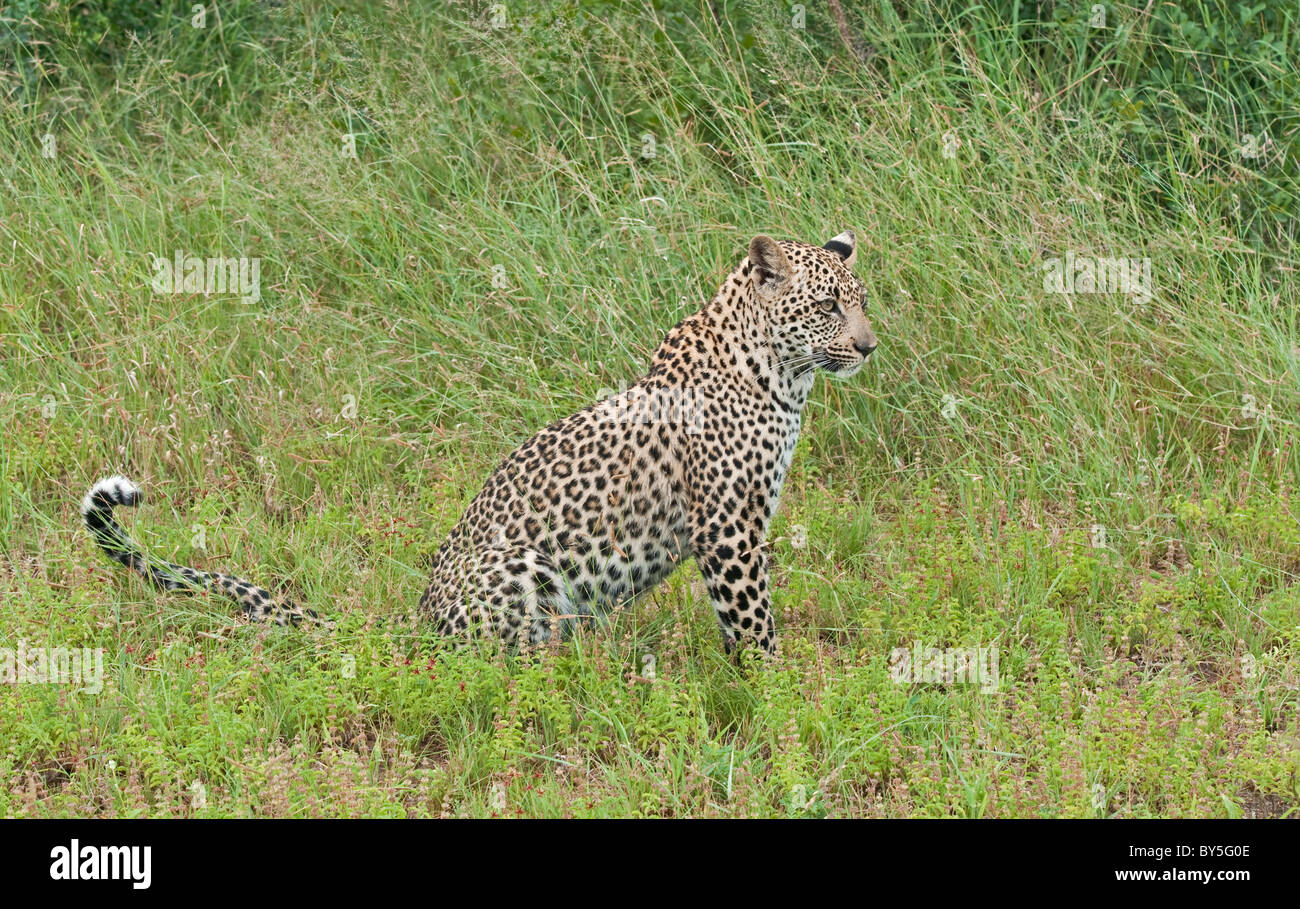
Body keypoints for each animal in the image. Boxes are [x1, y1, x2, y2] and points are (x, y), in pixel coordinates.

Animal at [81, 229, 878, 654]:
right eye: (826, 305)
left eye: (863, 300)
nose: (870, 347)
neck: (782, 376)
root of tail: (416, 620)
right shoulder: (729, 529)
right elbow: (752, 624)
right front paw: (773, 692)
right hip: (522, 570)